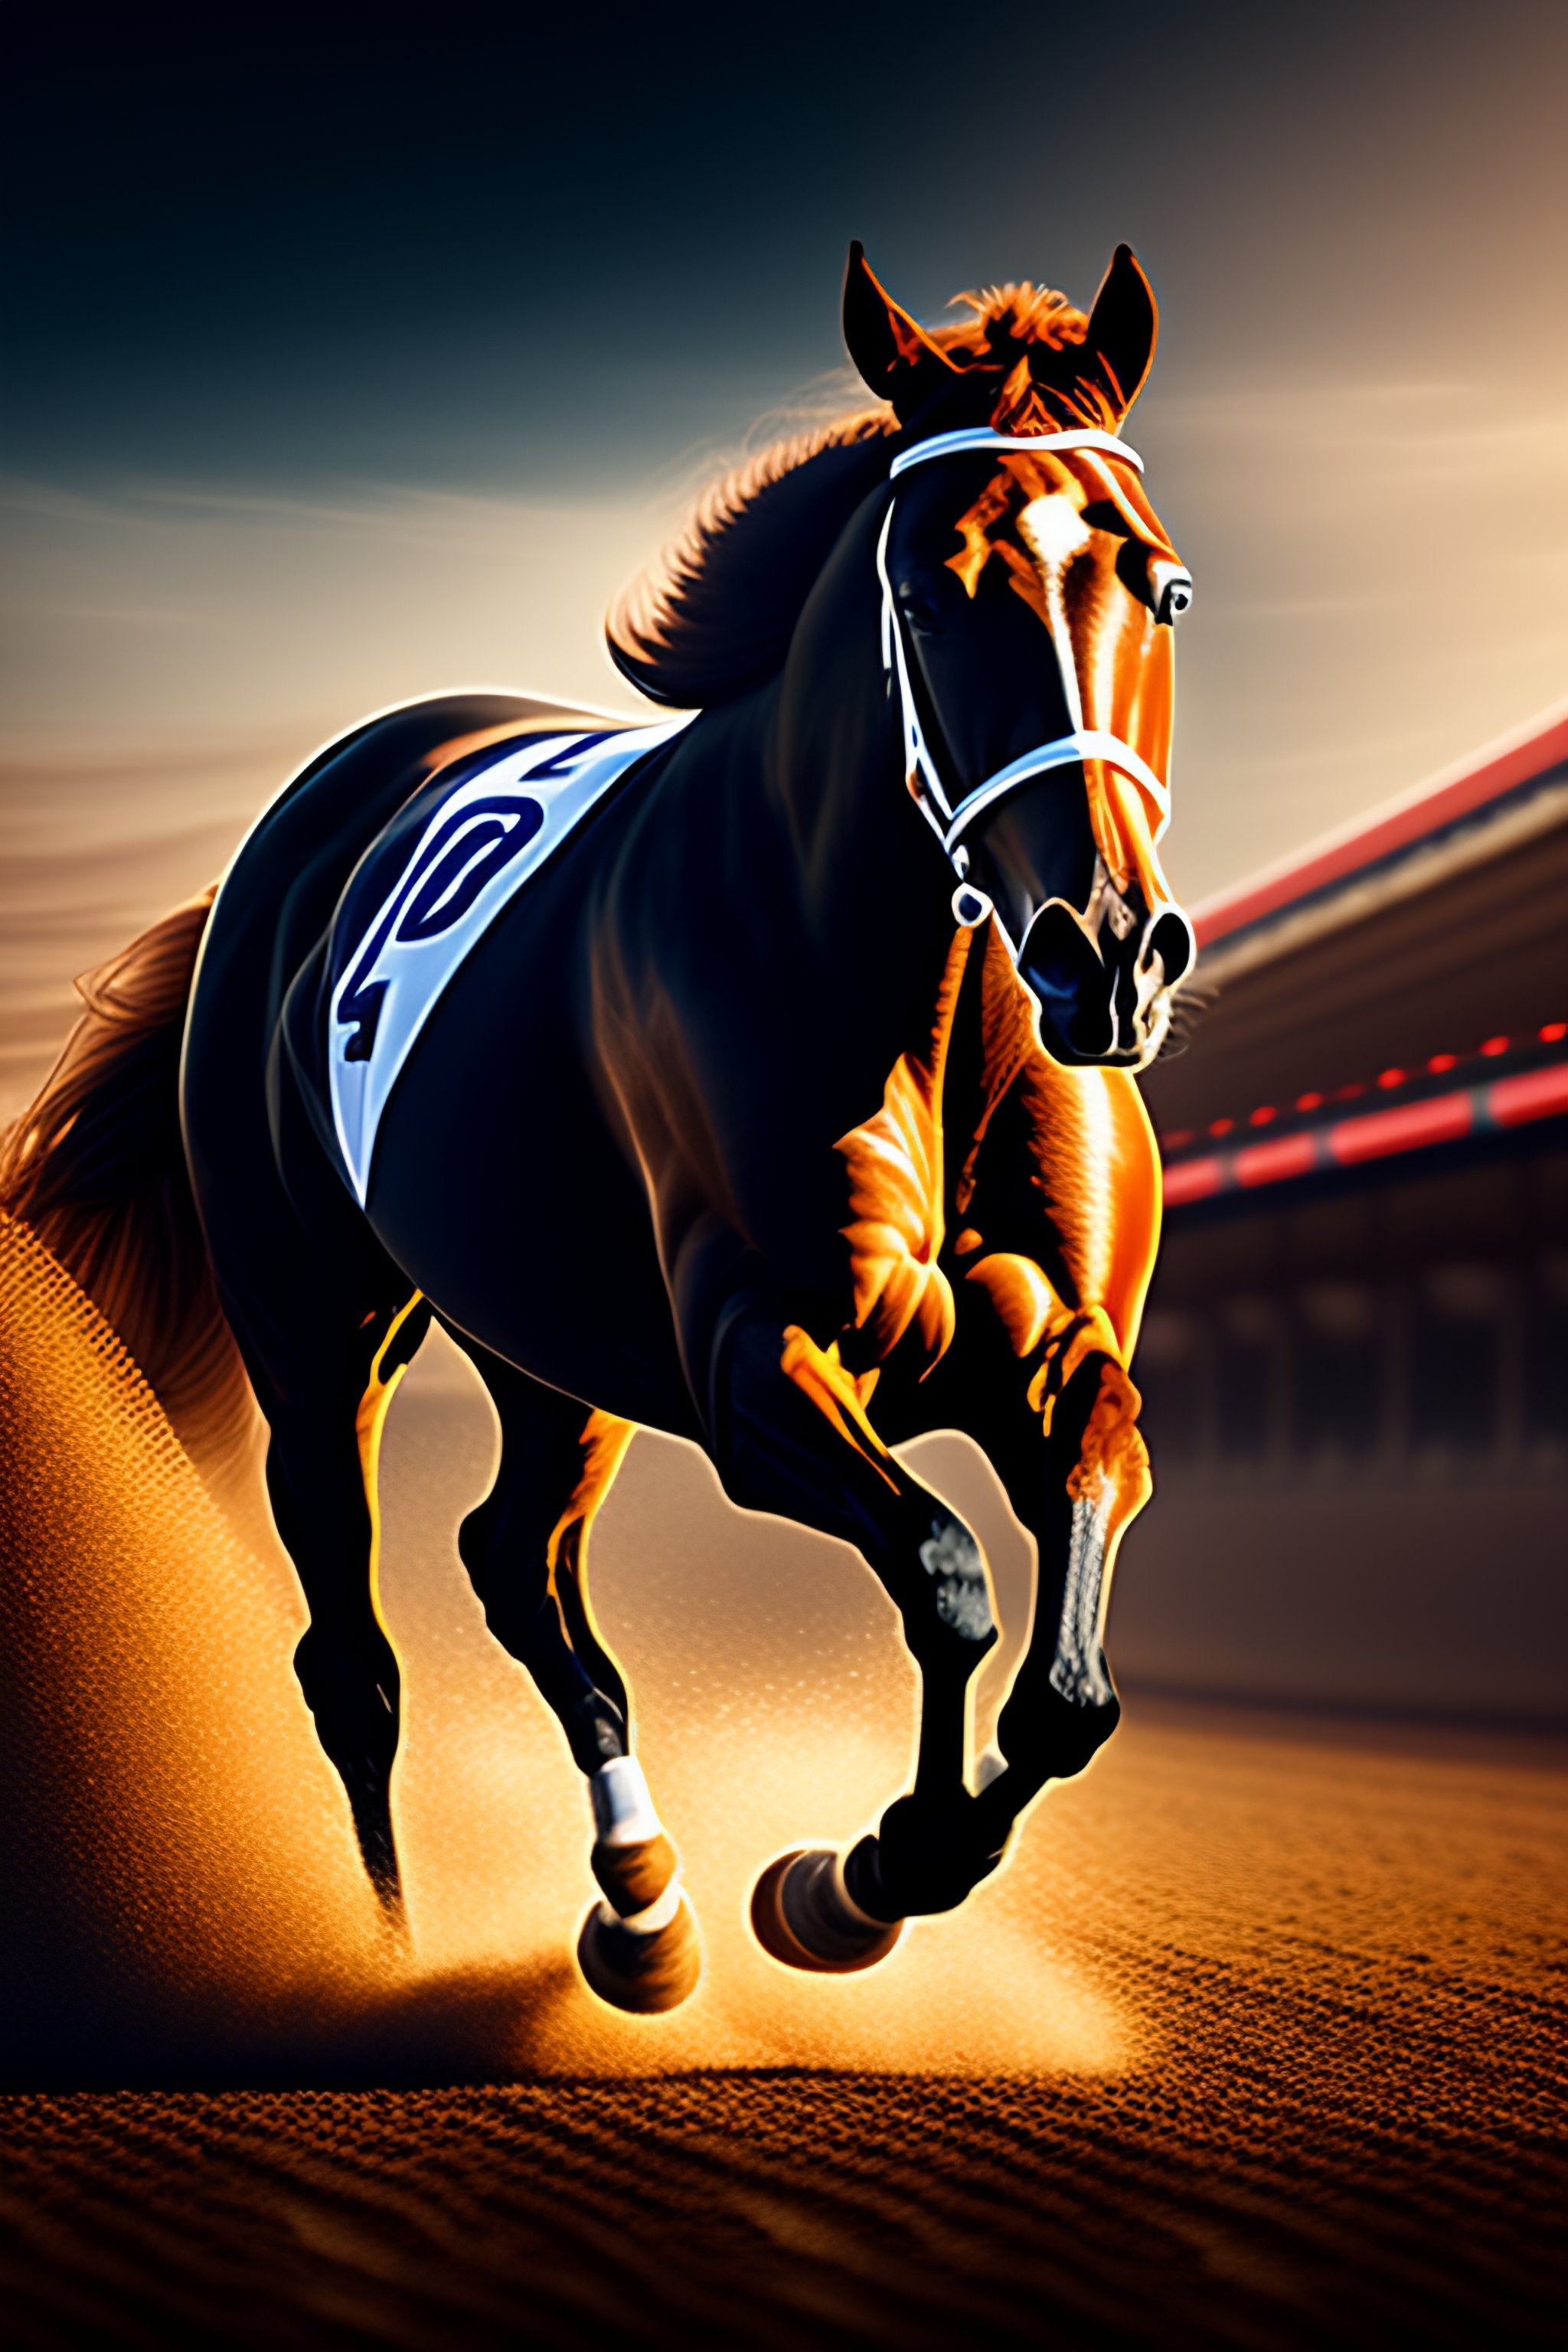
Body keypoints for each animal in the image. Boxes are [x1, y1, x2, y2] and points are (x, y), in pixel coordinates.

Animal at [2, 242, 1195, 2014]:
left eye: (1162, 587)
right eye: (930, 594)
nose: (1101, 951)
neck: (902, 1009)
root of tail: (288, 838)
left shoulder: (1054, 1361)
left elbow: (1068, 1684)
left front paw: (856, 1875)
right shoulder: (757, 1365)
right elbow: (944, 1578)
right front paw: (859, 1879)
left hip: (545, 1342)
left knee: (515, 1557)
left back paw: (641, 1909)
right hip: (314, 1325)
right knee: (354, 1659)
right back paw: (395, 1951)